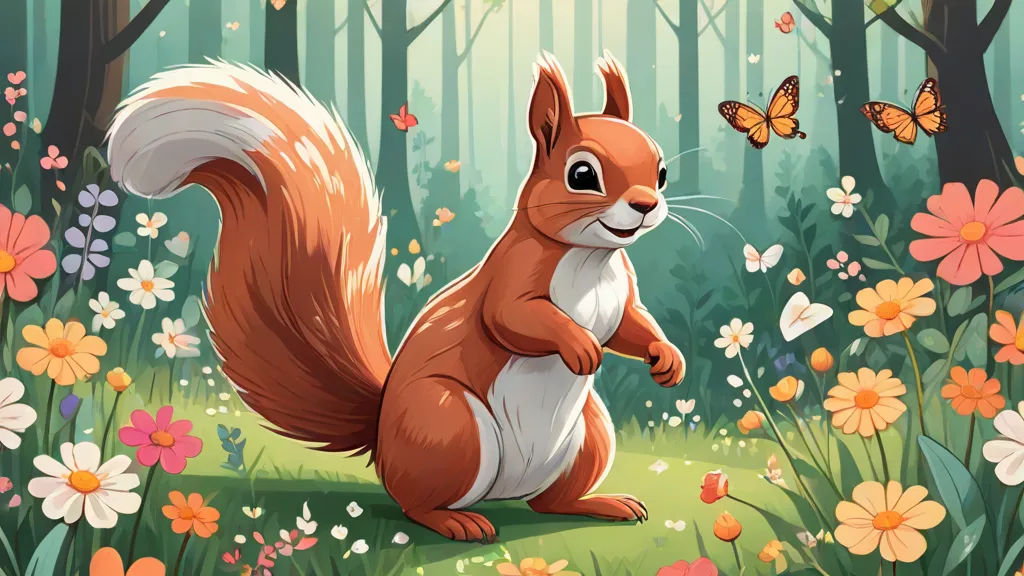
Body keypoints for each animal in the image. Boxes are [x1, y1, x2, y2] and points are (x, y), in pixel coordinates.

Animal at [107, 52, 685, 542]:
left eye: (660, 170)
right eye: (581, 174)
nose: (646, 204)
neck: (590, 259)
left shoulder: (621, 299)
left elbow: (631, 326)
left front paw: (667, 358)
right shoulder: (510, 279)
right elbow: (512, 319)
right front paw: (578, 344)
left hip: (590, 436)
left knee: (549, 503)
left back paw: (599, 503)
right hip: (448, 426)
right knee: (416, 503)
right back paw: (456, 522)